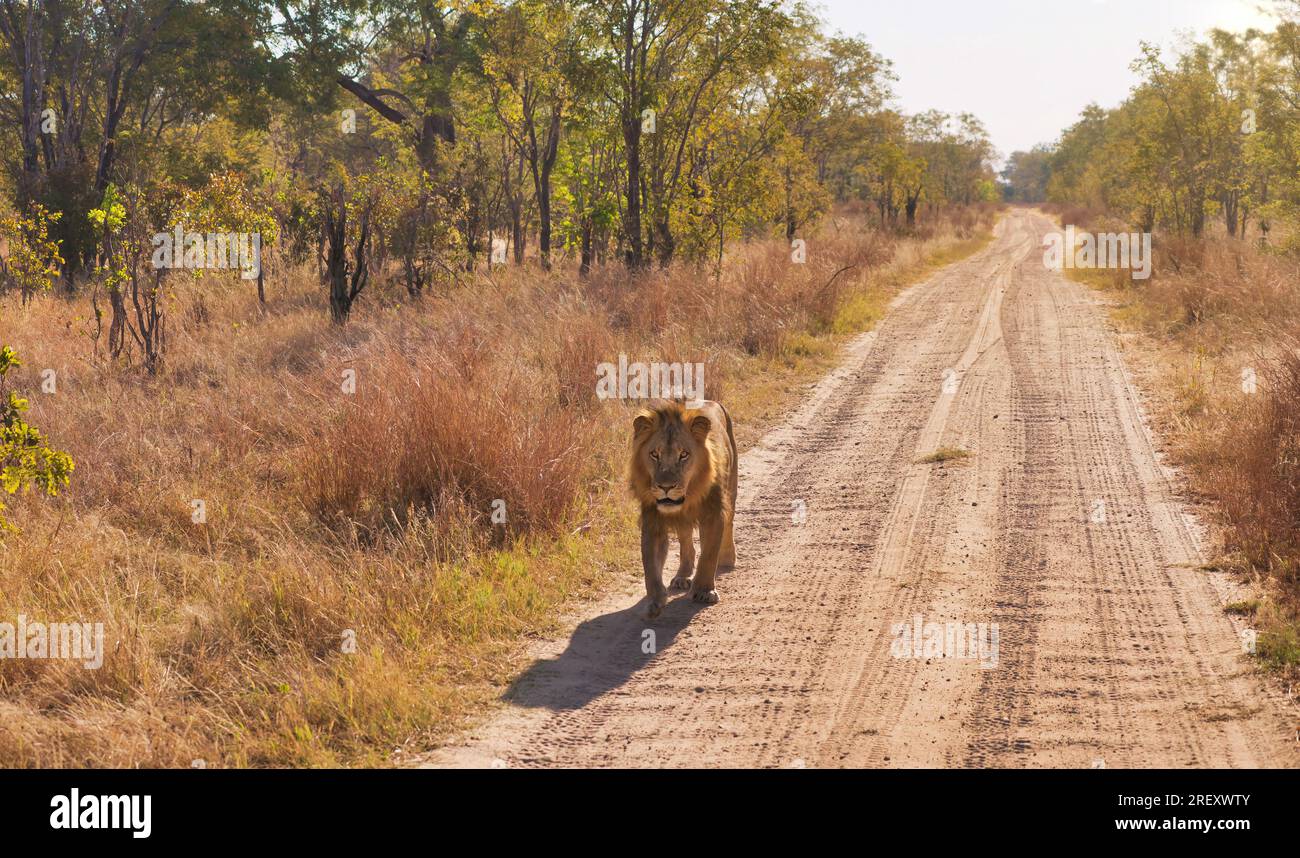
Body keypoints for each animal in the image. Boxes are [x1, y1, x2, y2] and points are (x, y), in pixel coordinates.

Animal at [629, 399, 737, 618]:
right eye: (654, 454)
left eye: (684, 455)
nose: (666, 487)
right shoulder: (652, 520)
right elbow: (650, 565)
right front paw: (654, 601)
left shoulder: (713, 514)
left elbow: (709, 554)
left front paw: (704, 591)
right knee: (686, 540)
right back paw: (682, 576)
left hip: (732, 487)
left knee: (729, 522)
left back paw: (728, 558)